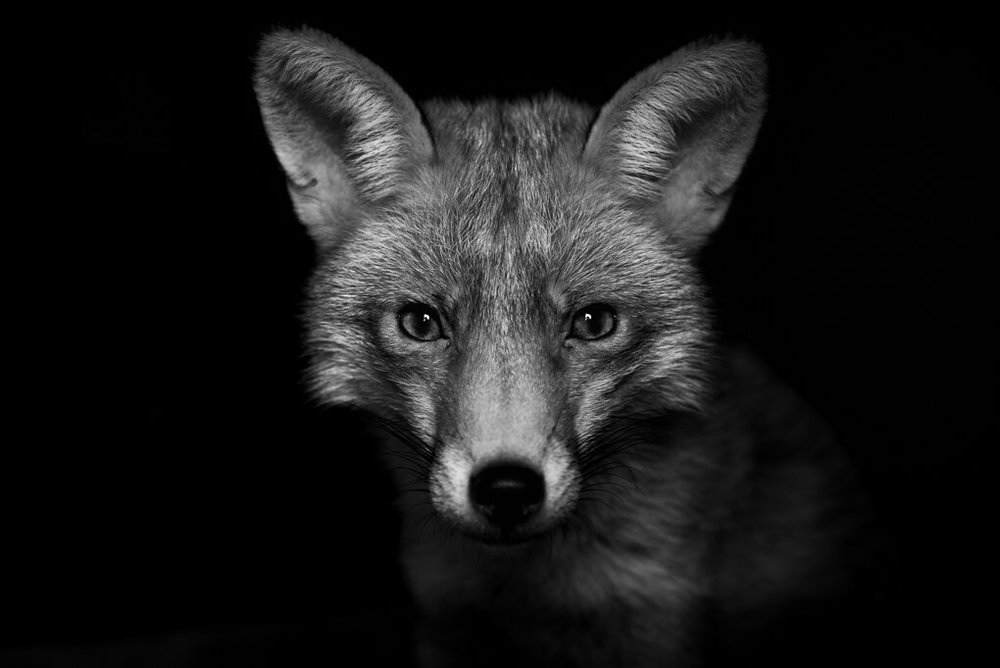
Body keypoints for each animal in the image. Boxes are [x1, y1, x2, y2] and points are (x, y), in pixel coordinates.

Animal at [253, 28, 878, 668]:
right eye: (420, 324)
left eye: (594, 322)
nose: (507, 490)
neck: (529, 596)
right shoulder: (446, 624)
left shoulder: (659, 625)